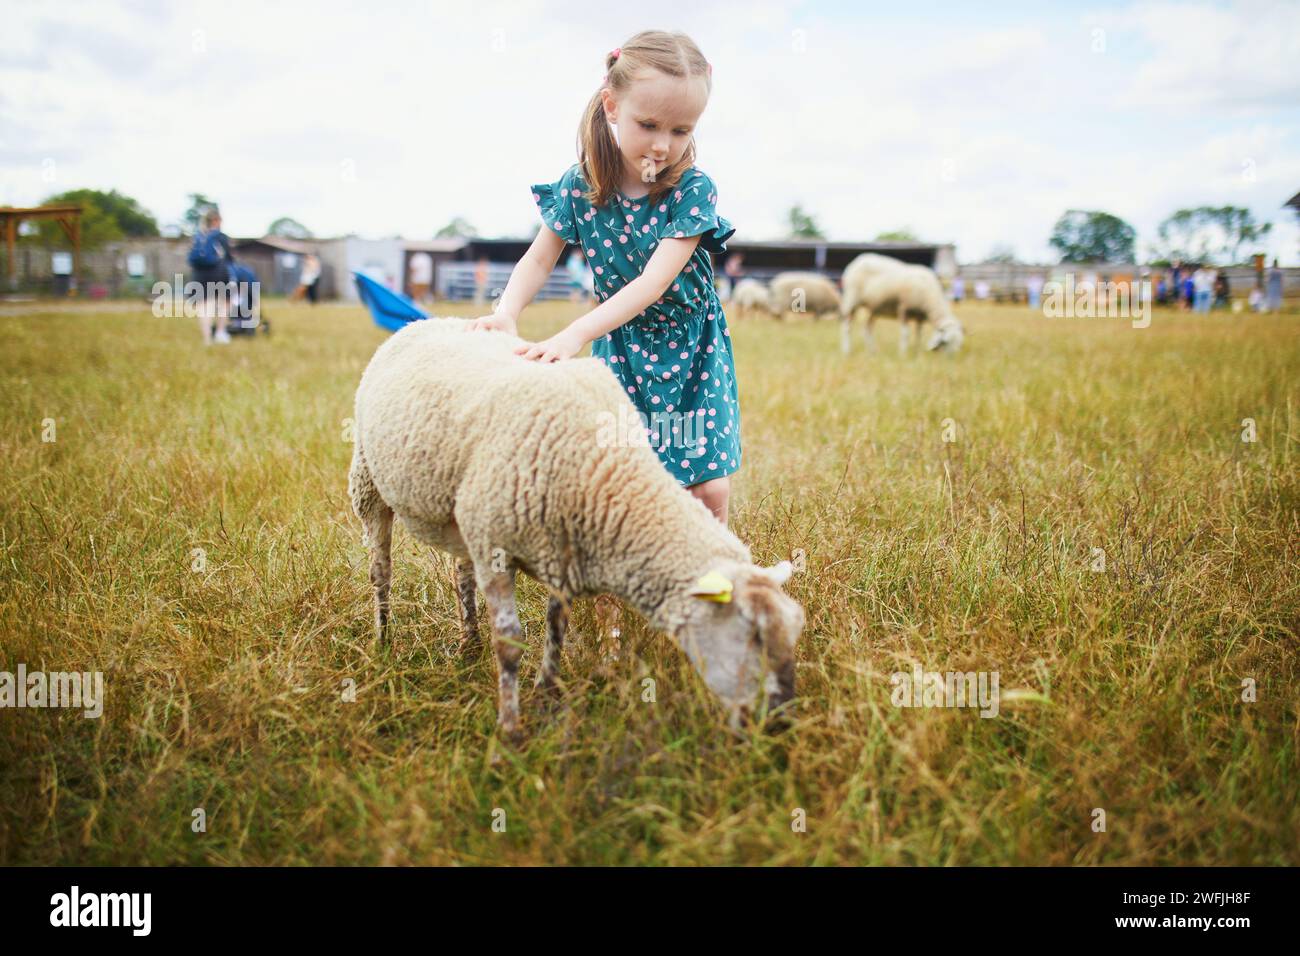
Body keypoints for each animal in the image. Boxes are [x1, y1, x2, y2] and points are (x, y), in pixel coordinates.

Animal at [348, 317, 806, 741]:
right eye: (753, 637)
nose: (780, 723)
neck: (604, 477)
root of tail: (433, 320)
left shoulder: (562, 552)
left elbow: (557, 627)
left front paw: (546, 694)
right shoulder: (498, 547)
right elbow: (510, 644)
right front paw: (511, 732)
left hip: (463, 515)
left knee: (461, 573)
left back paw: (469, 642)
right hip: (369, 482)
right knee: (381, 571)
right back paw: (383, 640)